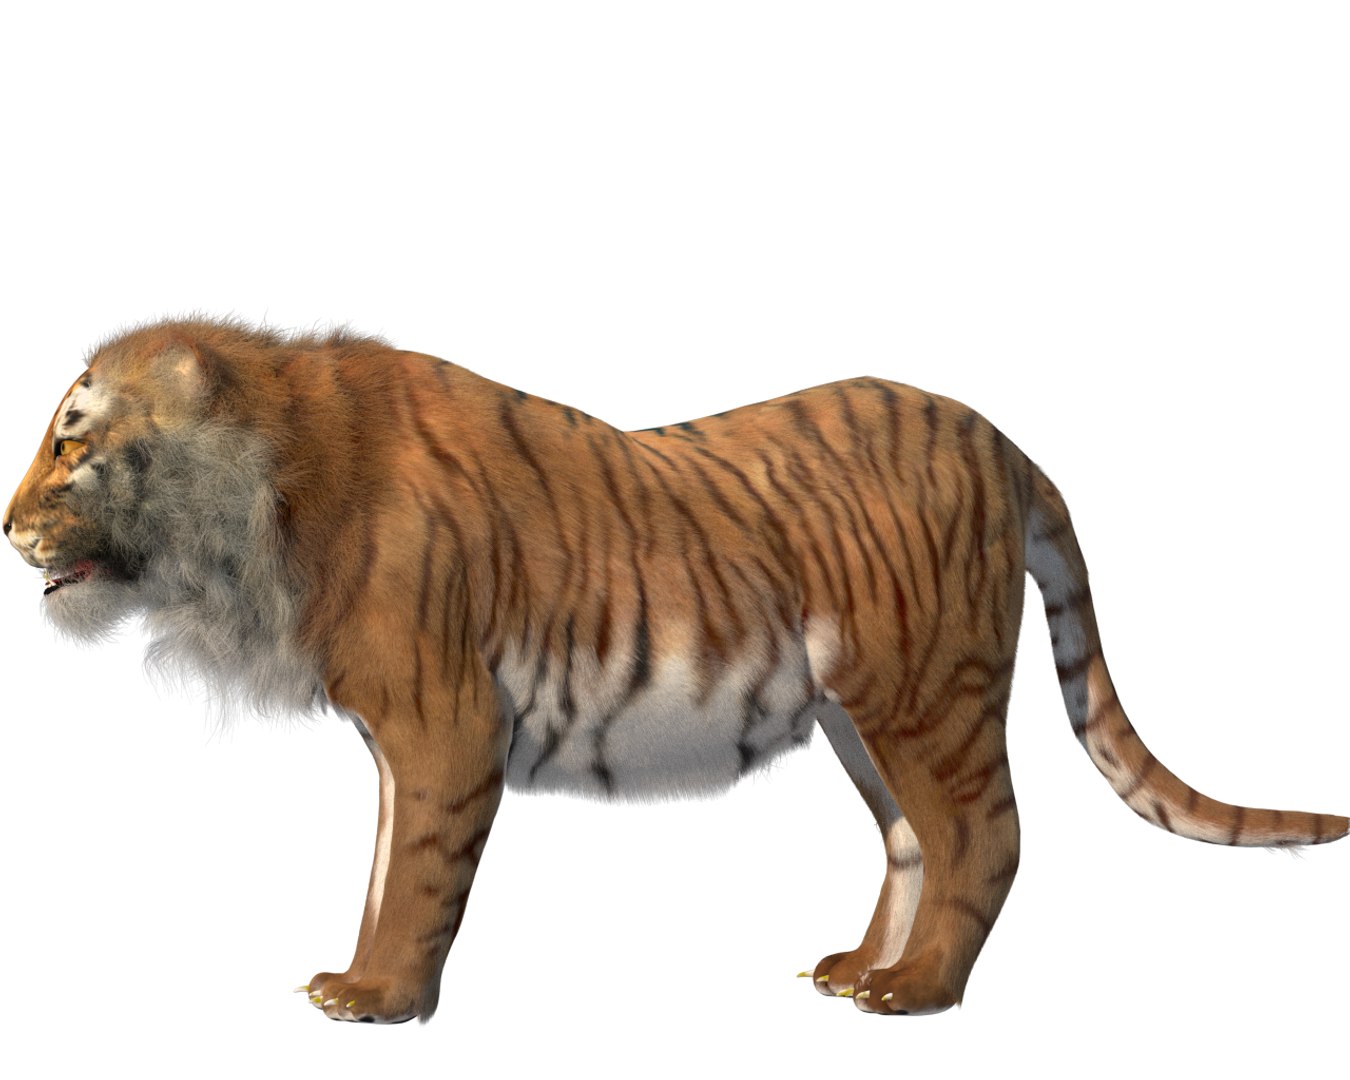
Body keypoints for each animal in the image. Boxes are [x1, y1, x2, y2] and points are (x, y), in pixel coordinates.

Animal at [5, 317, 1344, 1025]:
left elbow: (418, 879)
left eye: (70, 441)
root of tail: (1001, 439)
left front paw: (380, 999)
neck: (268, 508)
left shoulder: (444, 726)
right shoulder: (396, 742)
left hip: (929, 693)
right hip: (863, 718)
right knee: (912, 838)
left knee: (984, 834)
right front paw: (352, 978)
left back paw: (915, 993)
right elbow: (382, 867)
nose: (7, 527)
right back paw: (859, 968)